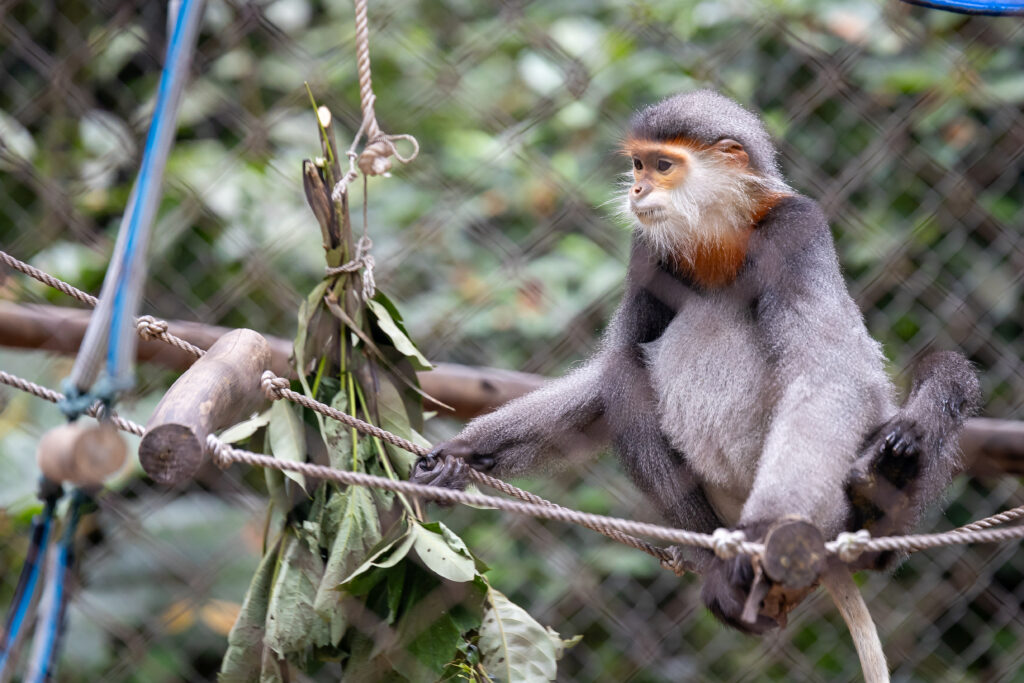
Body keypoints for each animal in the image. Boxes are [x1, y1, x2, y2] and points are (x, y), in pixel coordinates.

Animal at [411, 90, 980, 634]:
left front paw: (764, 530)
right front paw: (463, 454)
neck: (721, 235)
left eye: (663, 166)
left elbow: (830, 373)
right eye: (638, 165)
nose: (637, 190)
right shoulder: (650, 250)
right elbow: (613, 365)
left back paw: (881, 490)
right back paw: (717, 564)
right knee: (624, 375)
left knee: (945, 372)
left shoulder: (796, 228)